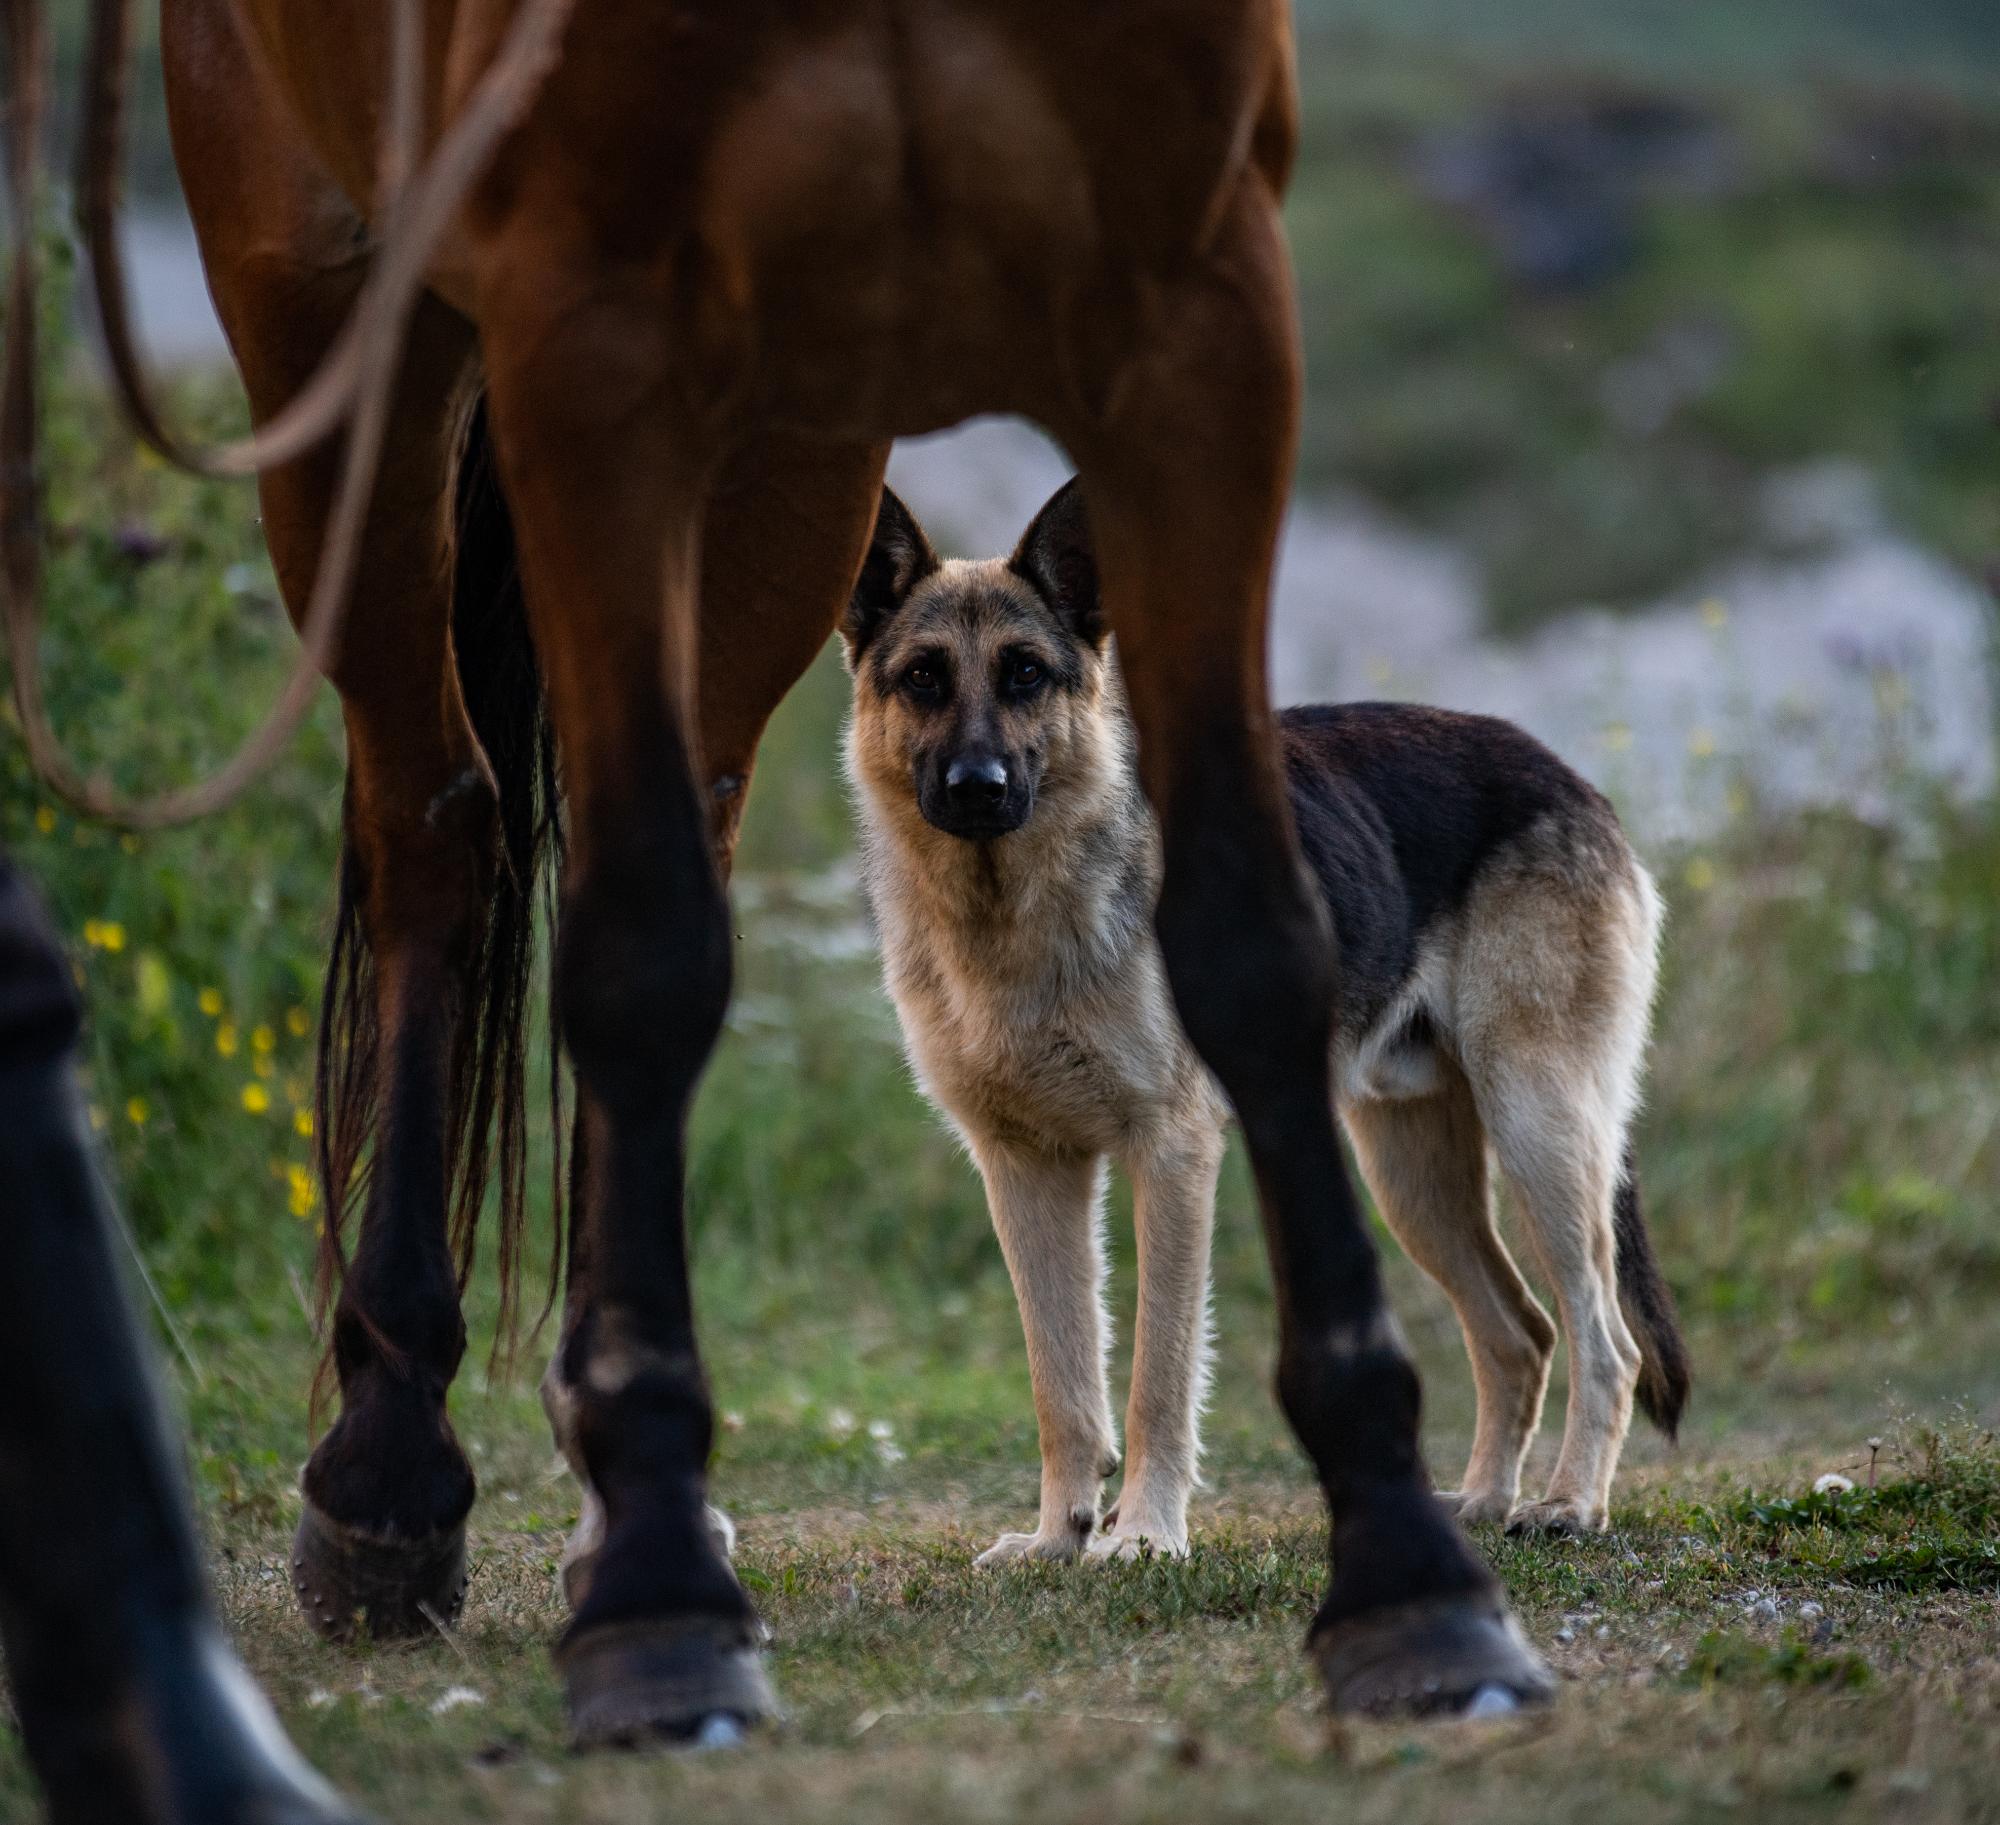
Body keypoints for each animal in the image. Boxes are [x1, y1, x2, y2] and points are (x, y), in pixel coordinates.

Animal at [160, 0, 1560, 1744]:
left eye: (1028, 678)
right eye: (925, 683)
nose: (974, 787)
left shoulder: (1193, 304)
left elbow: (1233, 988)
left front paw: (1395, 1578)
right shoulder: (590, 329)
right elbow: (646, 969)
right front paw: (669, 1596)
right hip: (338, 321)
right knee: (444, 823)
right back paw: (400, 1470)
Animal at [844, 478, 1688, 1560]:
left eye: (1025, 673)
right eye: (923, 678)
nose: (977, 788)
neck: (1014, 915)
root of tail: (1569, 777)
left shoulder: (1171, 1157)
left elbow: (1156, 1376)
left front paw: (1142, 1535)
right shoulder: (1025, 1171)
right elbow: (1061, 1382)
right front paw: (1056, 1540)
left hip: (1539, 1133)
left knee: (1603, 1340)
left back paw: (1570, 1503)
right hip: (1412, 1178)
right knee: (1521, 1333)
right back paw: (1481, 1502)